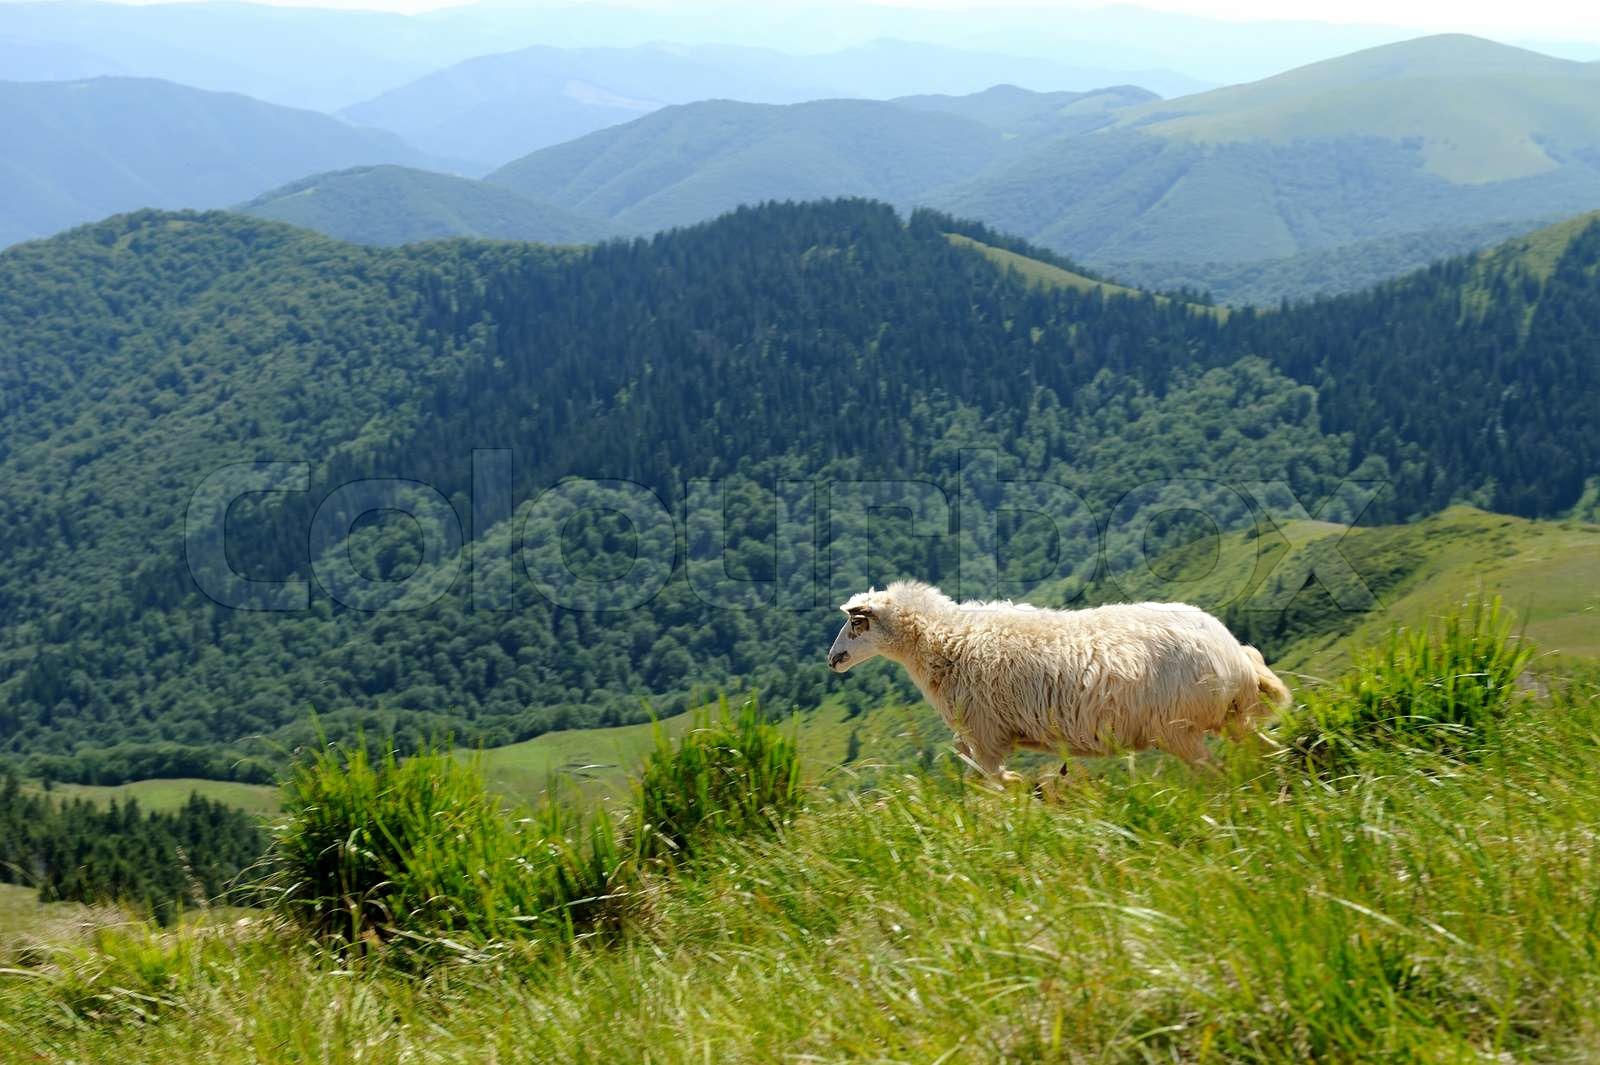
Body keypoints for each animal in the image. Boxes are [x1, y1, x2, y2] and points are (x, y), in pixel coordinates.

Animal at [826, 581, 1291, 784]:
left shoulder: (986, 734)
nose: (832, 660)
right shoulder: (985, 736)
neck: (948, 640)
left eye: (856, 623)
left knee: (1219, 771)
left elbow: (990, 781)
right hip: (1228, 720)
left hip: (1179, 730)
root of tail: (1234, 654)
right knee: (1265, 750)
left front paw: (1020, 792)